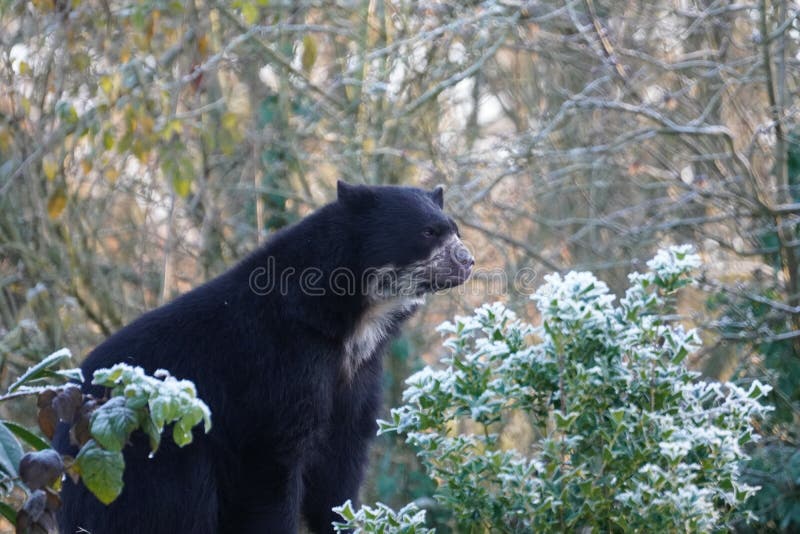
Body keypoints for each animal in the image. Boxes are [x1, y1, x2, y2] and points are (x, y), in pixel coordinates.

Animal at [55, 181, 474, 534]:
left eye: (454, 229)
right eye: (428, 232)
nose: (468, 260)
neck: (355, 323)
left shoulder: (359, 376)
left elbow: (341, 465)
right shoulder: (277, 366)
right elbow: (274, 460)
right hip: (144, 458)